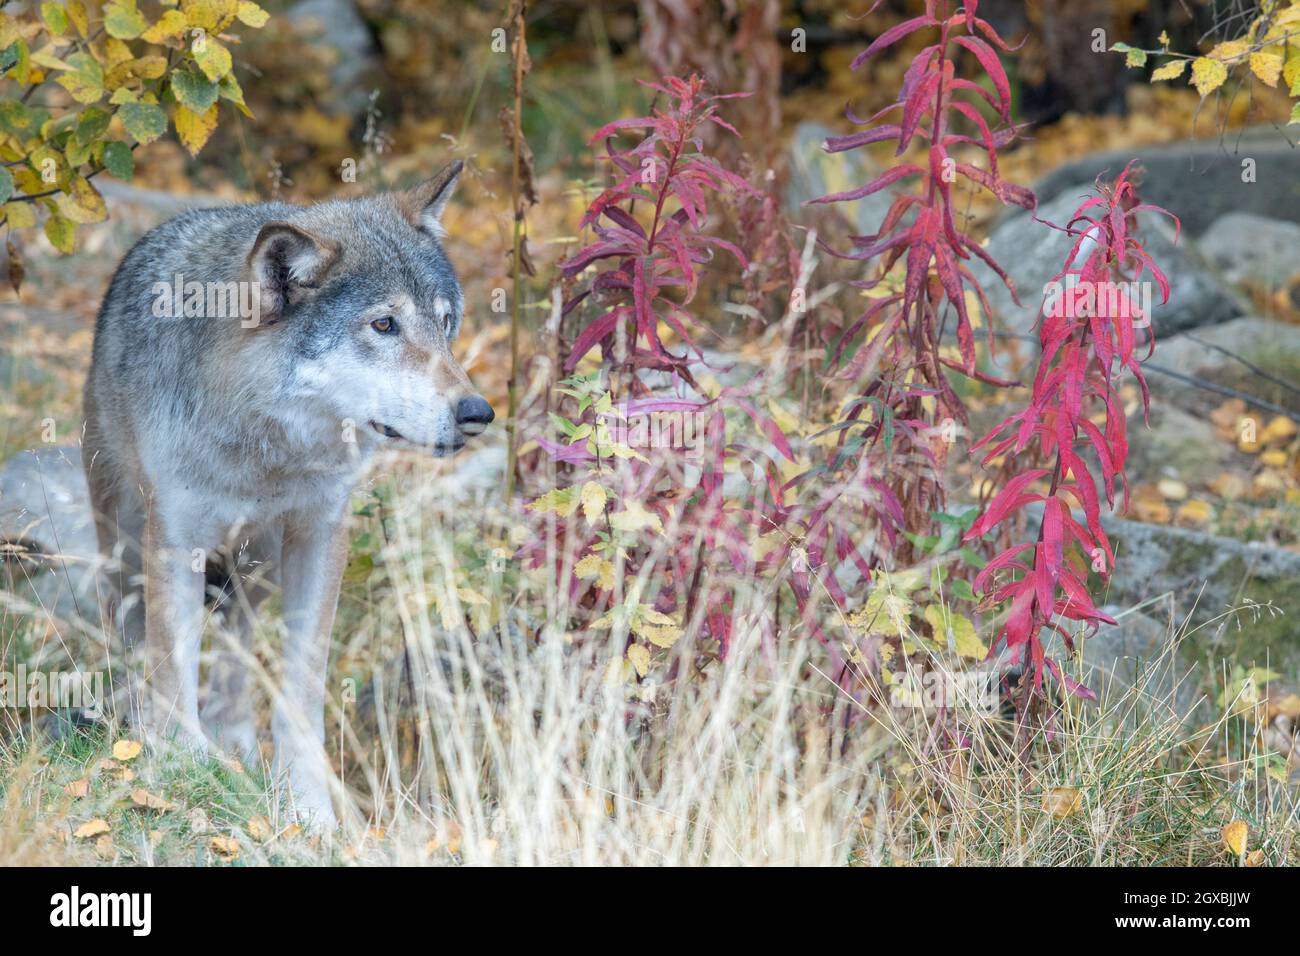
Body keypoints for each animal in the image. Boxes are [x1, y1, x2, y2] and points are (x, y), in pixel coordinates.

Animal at [81, 160, 492, 827]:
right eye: (384, 325)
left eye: (446, 322)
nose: (477, 412)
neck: (266, 452)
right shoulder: (173, 542)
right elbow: (173, 668)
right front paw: (180, 770)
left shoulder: (321, 535)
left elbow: (301, 685)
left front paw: (308, 809)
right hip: (124, 548)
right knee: (136, 645)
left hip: (257, 568)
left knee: (236, 656)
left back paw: (240, 748)